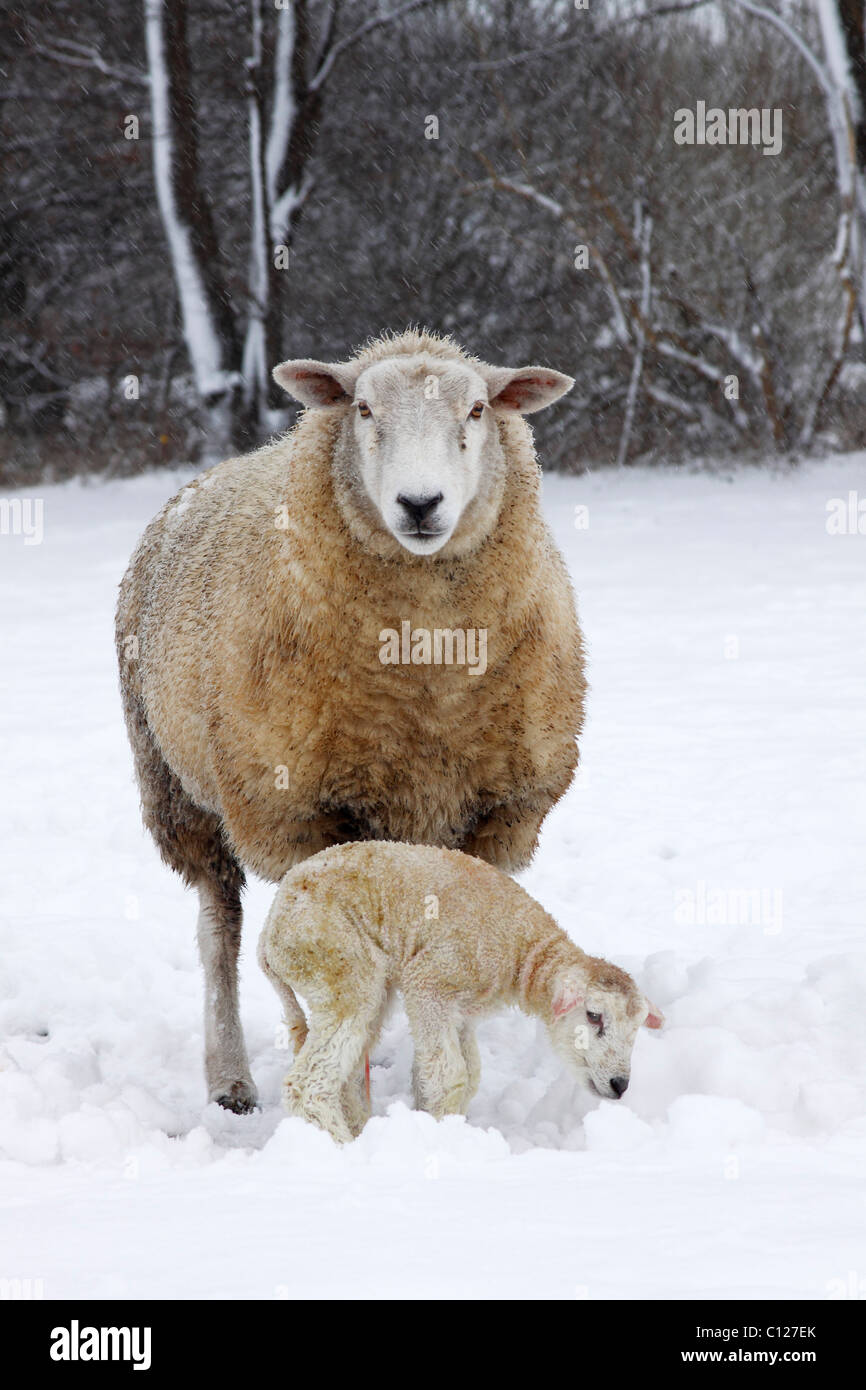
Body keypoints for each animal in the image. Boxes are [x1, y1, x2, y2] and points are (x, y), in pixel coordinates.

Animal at [116, 328, 585, 1113]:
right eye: (363, 408)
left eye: (479, 409)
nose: (420, 503)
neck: (427, 673)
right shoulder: (300, 816)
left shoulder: (494, 818)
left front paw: (431, 1102)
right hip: (179, 789)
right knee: (220, 932)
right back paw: (231, 1078)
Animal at [258, 841, 664, 1144]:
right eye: (594, 1016)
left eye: (636, 1029)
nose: (620, 1085)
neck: (520, 949)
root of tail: (267, 936)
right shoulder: (429, 983)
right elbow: (451, 1075)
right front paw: (441, 1134)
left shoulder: (463, 1011)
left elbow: (469, 1074)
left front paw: (440, 1124)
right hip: (336, 964)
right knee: (307, 1082)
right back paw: (342, 1147)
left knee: (348, 1074)